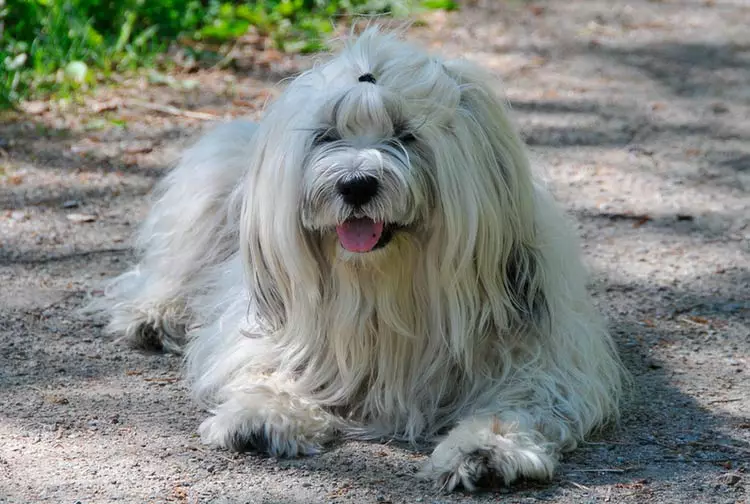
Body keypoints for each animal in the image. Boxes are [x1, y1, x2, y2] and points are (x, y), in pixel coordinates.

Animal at [101, 28, 628, 492]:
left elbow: (525, 401)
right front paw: (265, 413)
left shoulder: (544, 356)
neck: (386, 283)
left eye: (406, 135)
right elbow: (269, 365)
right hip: (212, 184)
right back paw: (153, 314)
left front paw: (485, 450)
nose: (355, 184)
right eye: (326, 135)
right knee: (168, 268)